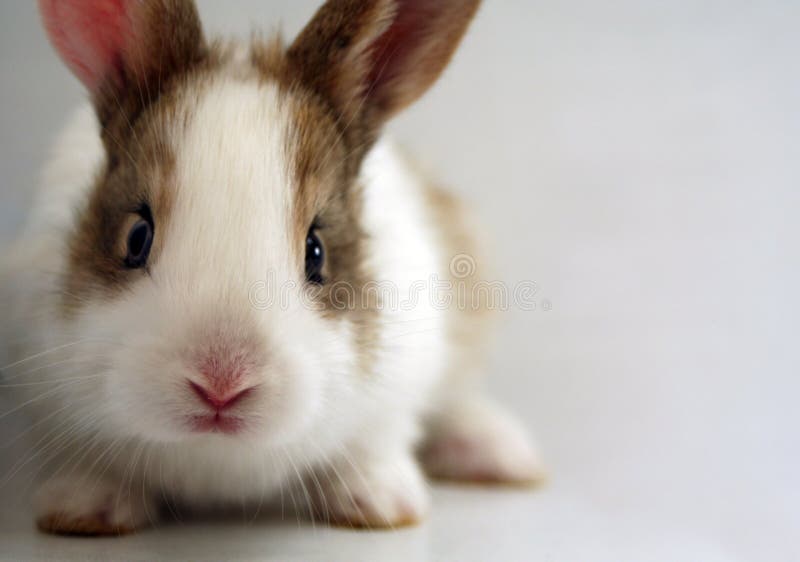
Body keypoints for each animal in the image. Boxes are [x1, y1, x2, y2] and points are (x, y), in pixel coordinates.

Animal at [0, 0, 543, 535]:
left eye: (316, 251)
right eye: (137, 237)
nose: (220, 385)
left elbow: (377, 440)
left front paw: (381, 501)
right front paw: (84, 506)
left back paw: (501, 454)